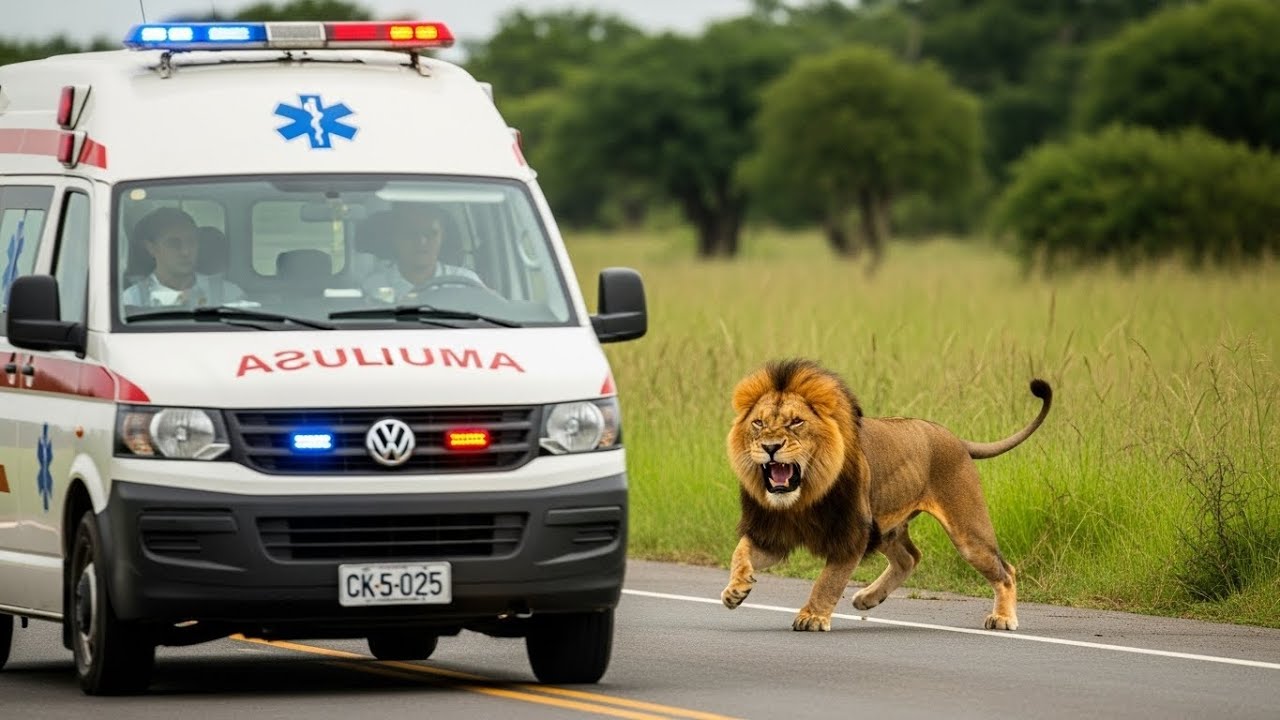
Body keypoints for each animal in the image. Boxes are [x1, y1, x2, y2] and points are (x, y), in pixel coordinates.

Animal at [721, 358, 1052, 632]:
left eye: (796, 422)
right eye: (758, 423)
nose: (770, 446)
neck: (803, 496)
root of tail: (955, 437)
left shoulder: (852, 536)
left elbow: (829, 581)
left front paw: (812, 616)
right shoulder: (773, 535)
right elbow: (740, 552)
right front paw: (735, 589)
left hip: (967, 531)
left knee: (1005, 570)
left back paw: (1003, 618)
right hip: (884, 526)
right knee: (910, 557)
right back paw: (867, 598)